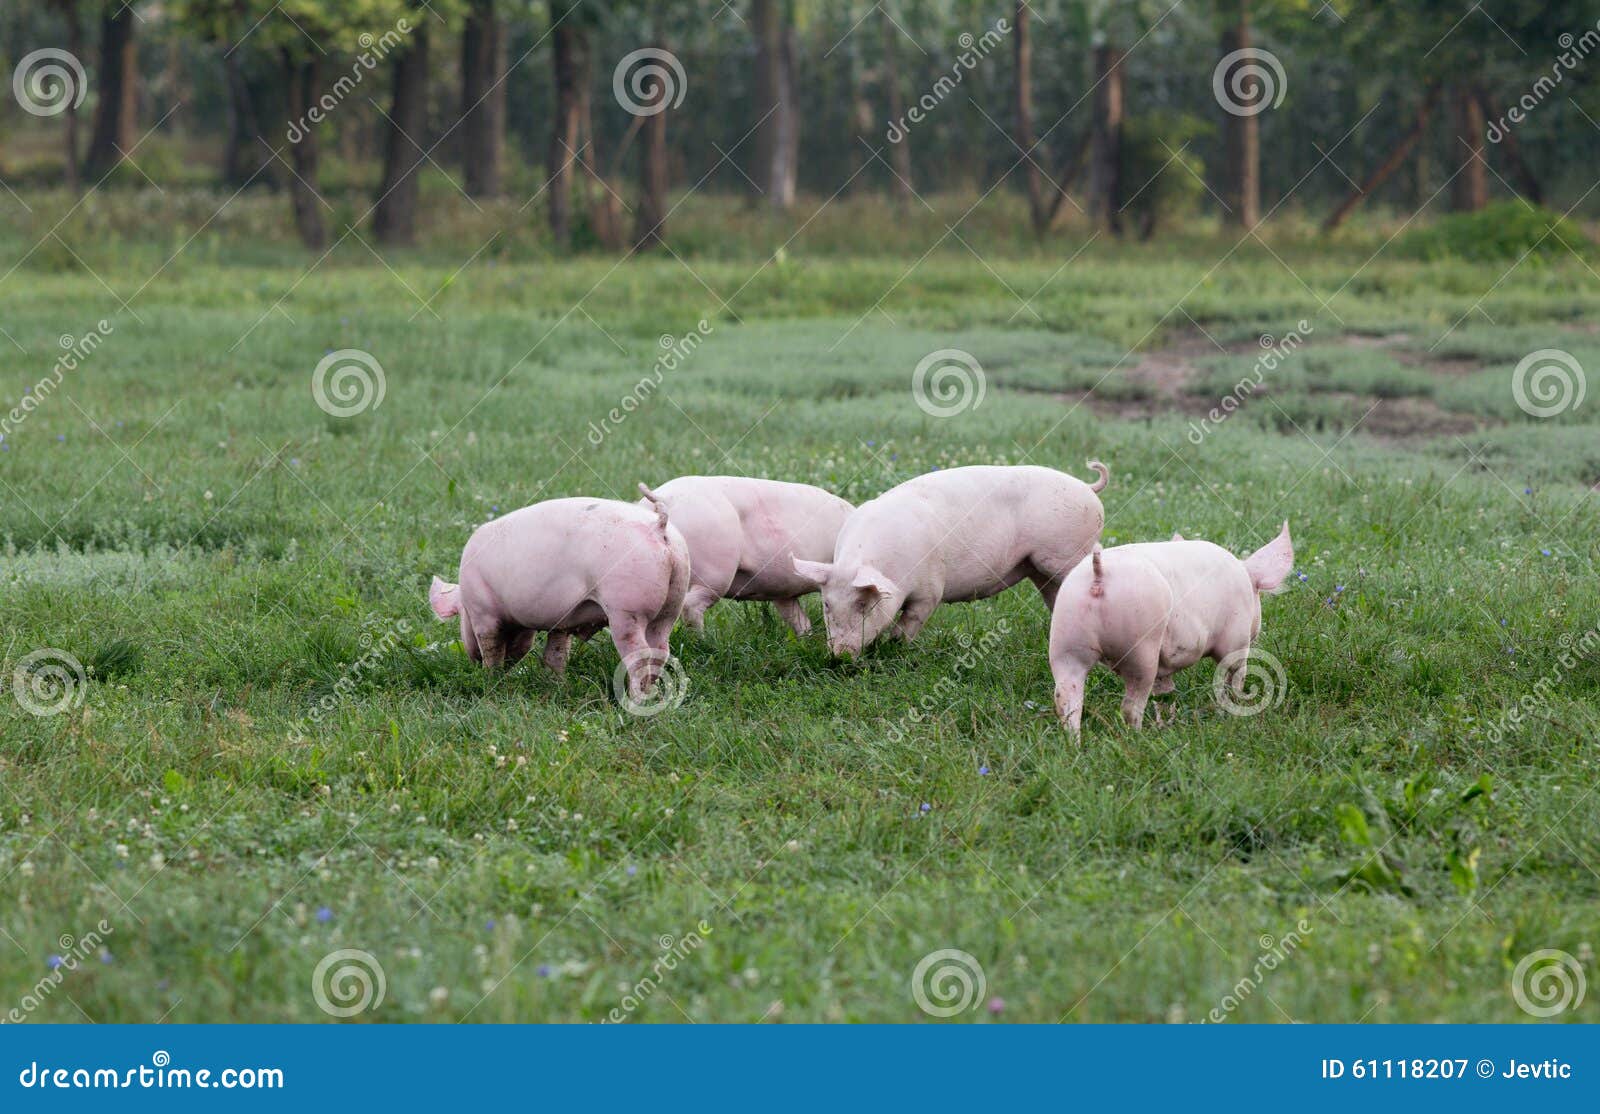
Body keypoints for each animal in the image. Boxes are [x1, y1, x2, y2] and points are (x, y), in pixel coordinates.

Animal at [428, 491, 690, 699]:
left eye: (460, 617)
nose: (473, 661)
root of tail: (659, 526)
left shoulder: (483, 613)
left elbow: (492, 647)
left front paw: (490, 680)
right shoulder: (563, 623)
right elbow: (555, 654)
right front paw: (555, 686)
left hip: (626, 607)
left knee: (640, 654)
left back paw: (634, 700)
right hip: (672, 603)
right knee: (660, 649)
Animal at [636, 476, 854, 635]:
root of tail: (662, 497)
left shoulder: (782, 590)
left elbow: (798, 618)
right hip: (715, 571)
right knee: (691, 605)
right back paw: (704, 641)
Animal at [792, 462, 1109, 657]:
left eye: (863, 604)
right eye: (826, 604)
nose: (840, 656)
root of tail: (1087, 488)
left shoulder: (931, 588)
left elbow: (911, 621)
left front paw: (895, 647)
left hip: (1068, 551)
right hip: (1041, 569)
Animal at [1048, 522, 1294, 735]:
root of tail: (1099, 576)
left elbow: (1164, 688)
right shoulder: (1236, 637)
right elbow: (1234, 673)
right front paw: (1234, 706)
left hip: (1065, 636)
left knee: (1066, 698)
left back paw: (1074, 743)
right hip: (1141, 644)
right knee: (1131, 704)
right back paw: (1138, 736)